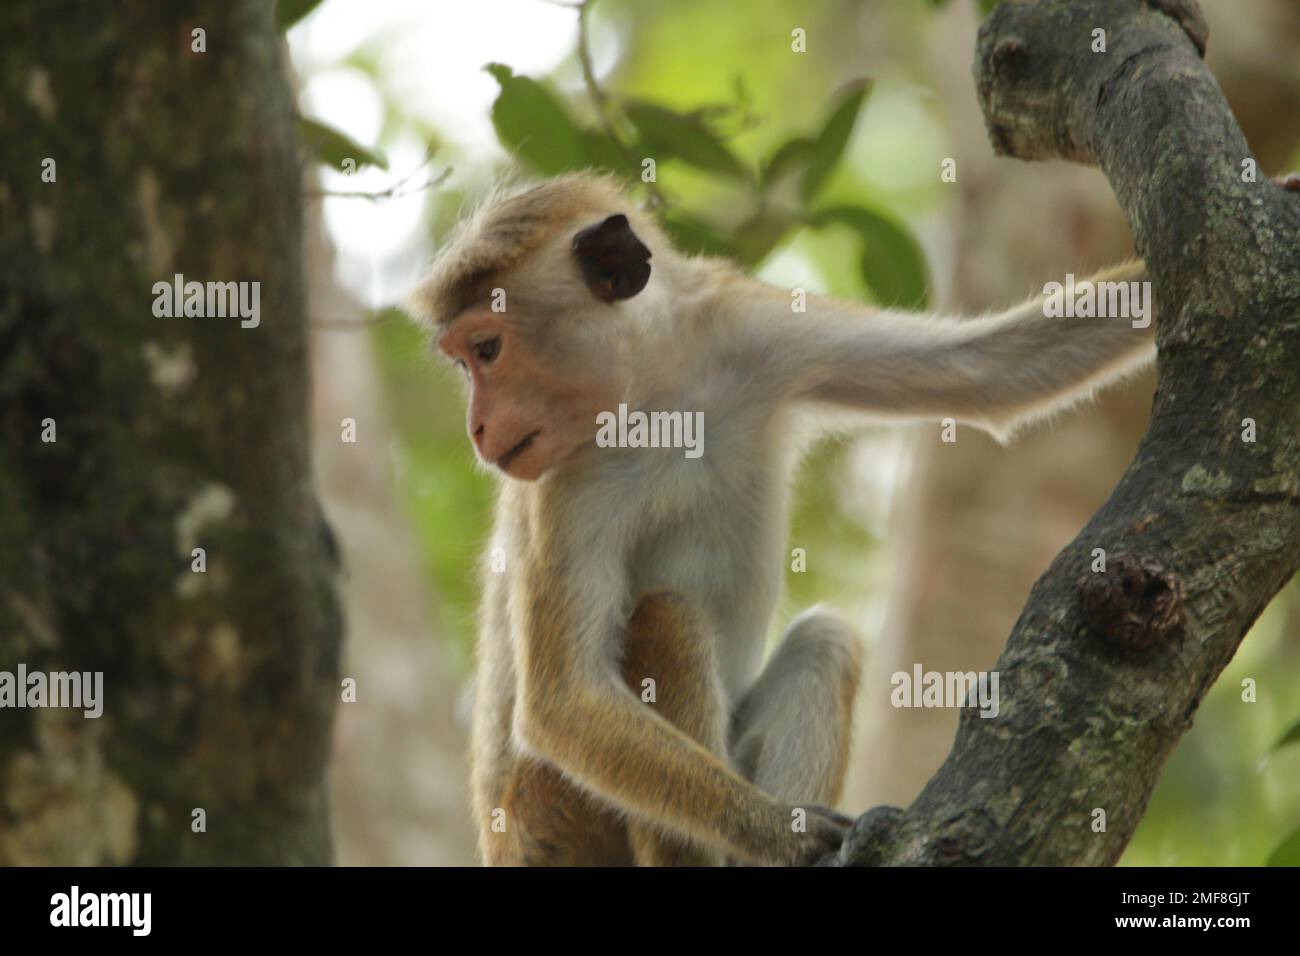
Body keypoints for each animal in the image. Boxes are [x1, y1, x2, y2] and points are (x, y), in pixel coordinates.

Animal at [406, 172, 1156, 866]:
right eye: (467, 360)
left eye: (488, 350)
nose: (478, 427)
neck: (657, 389)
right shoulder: (562, 486)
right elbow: (564, 700)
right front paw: (776, 831)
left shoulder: (756, 331)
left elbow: (987, 371)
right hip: (556, 818)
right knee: (668, 617)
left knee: (824, 640)